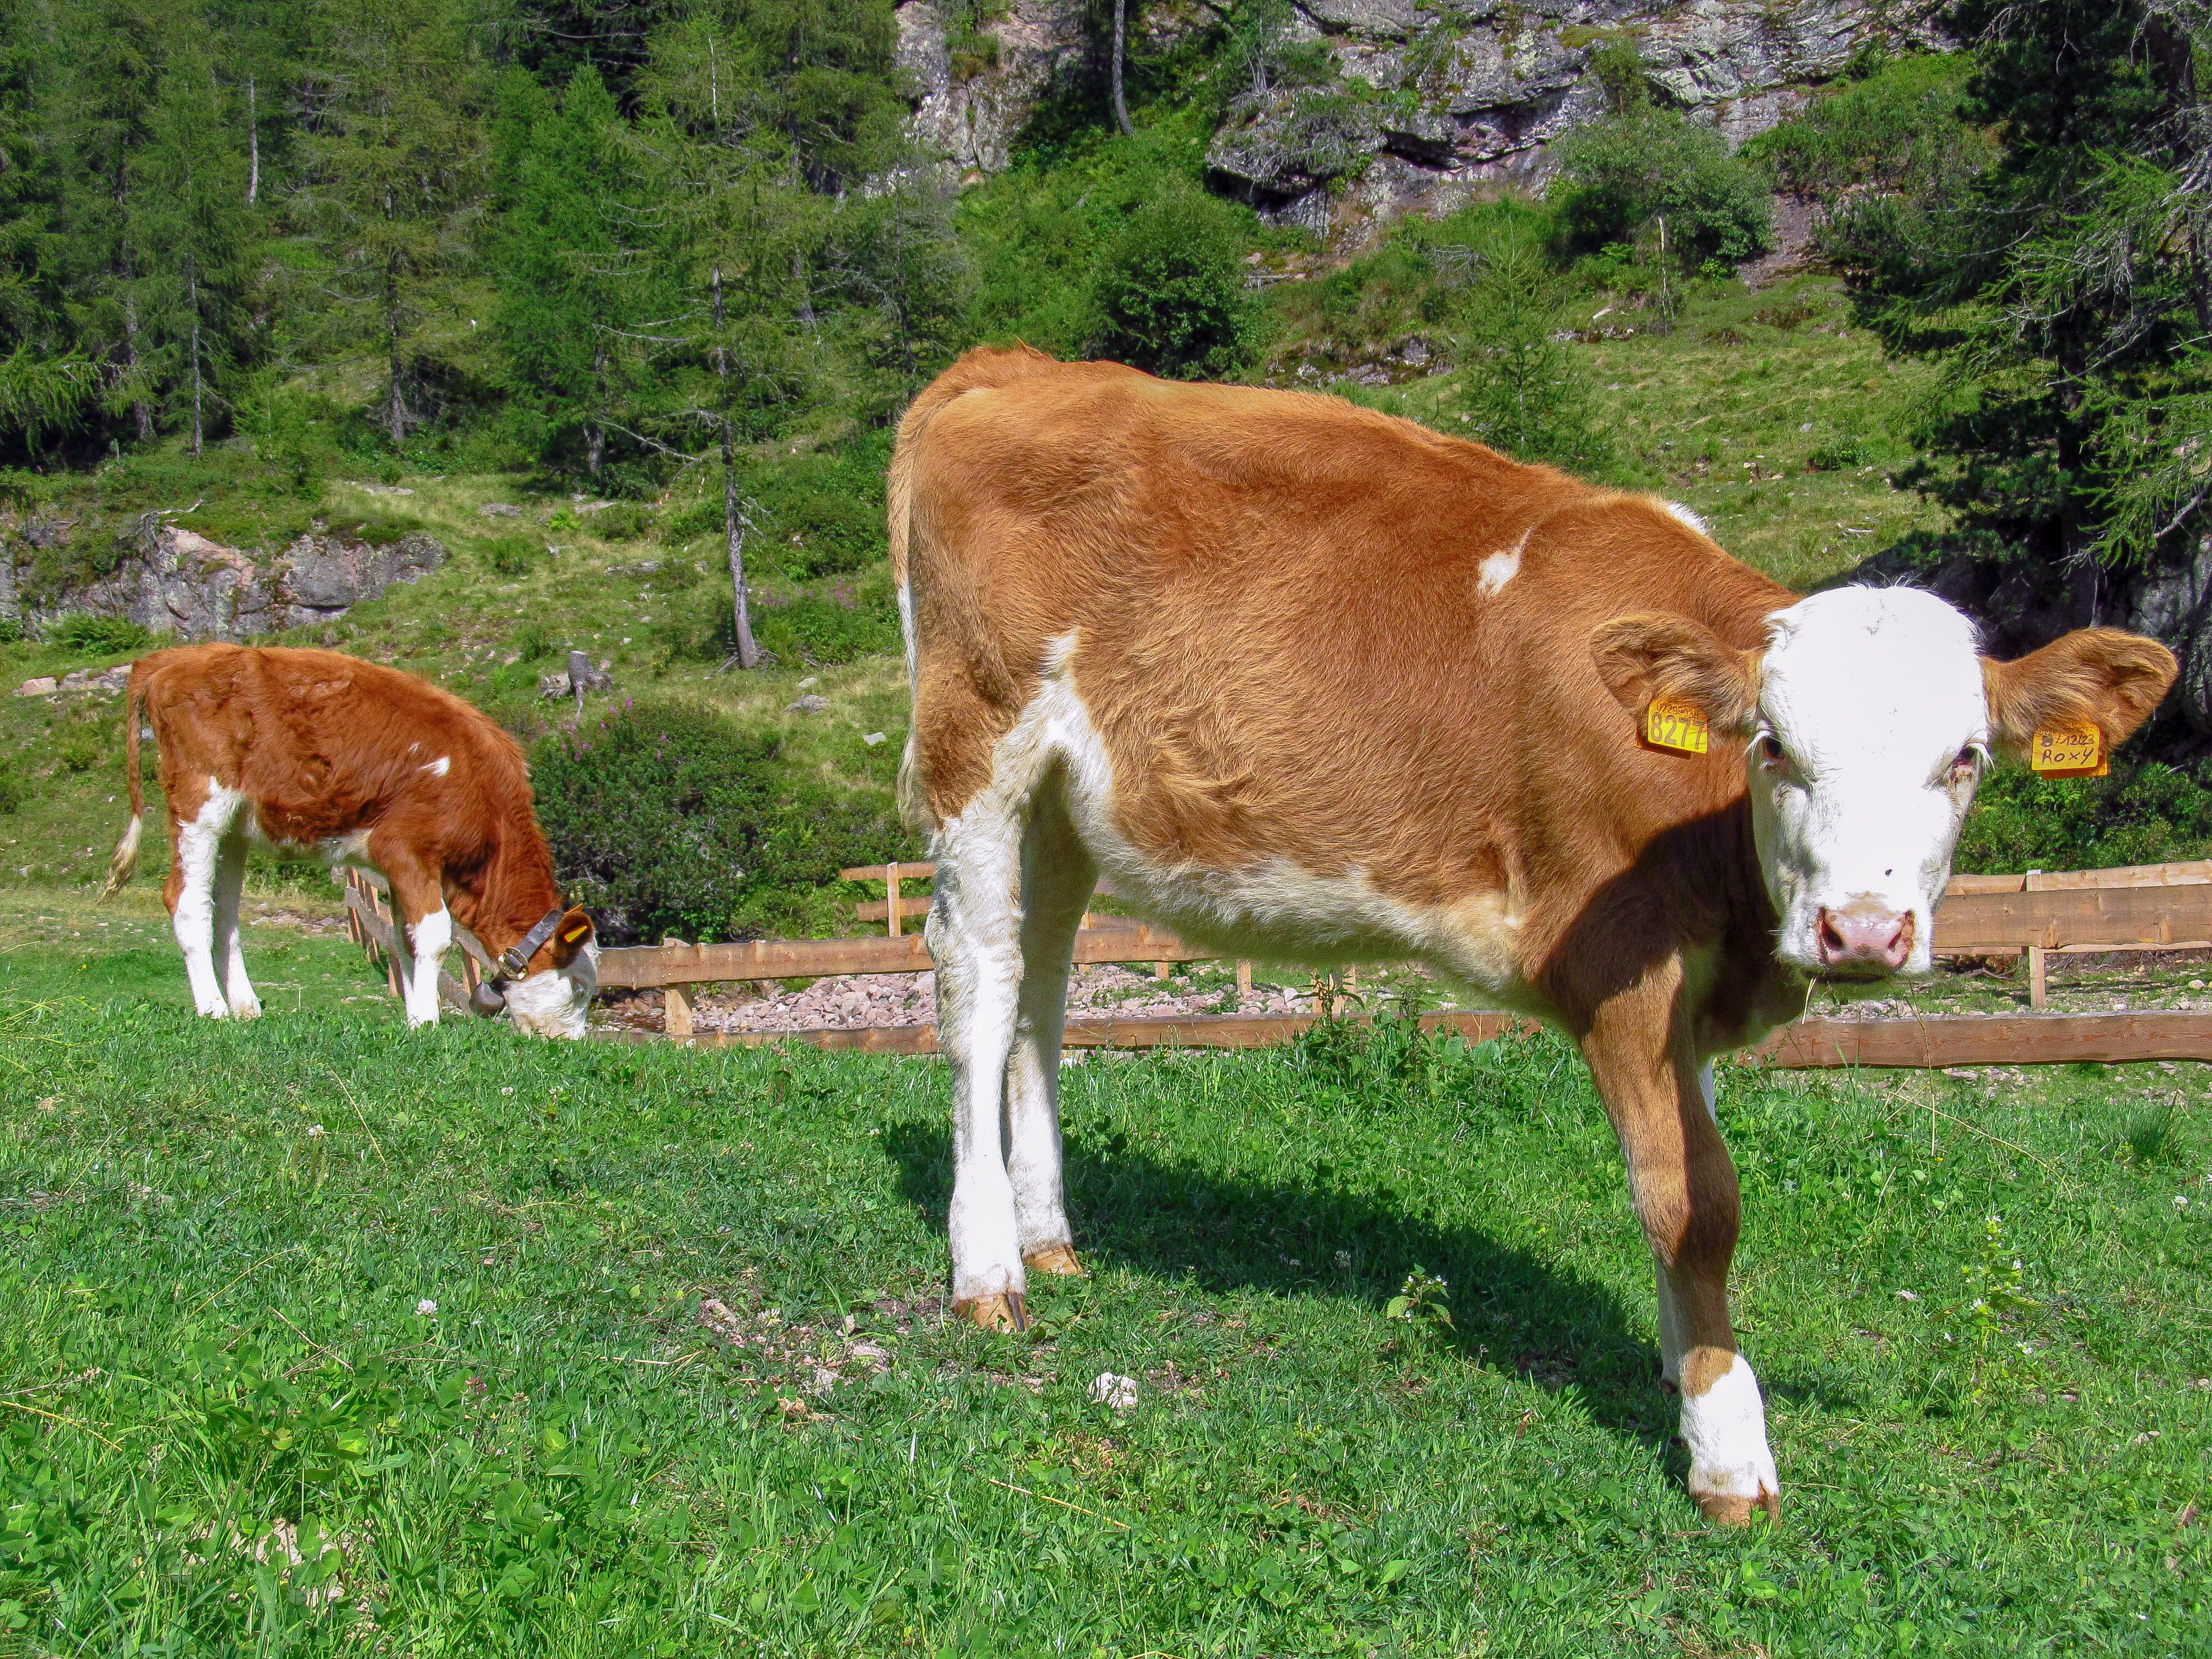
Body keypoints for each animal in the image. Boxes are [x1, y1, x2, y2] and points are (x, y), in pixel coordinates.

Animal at [101, 644, 598, 1039]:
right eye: (579, 988)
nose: (571, 1044)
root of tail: (176, 656)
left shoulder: (397, 867)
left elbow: (404, 938)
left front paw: (416, 1017)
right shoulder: (409, 852)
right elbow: (435, 936)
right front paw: (430, 1022)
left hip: (235, 828)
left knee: (223, 912)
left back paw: (245, 1007)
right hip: (199, 804)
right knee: (186, 902)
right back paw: (213, 1009)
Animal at [888, 346, 2177, 1523]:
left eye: (1965, 759)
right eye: (1772, 747)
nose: (1861, 930)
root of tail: (1019, 366)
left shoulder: (1687, 983)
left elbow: (1686, 1165)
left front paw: (1678, 1359)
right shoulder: (1617, 967)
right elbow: (1695, 1200)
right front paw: (1725, 1445)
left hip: (1067, 805)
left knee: (1041, 988)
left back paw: (1051, 1233)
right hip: (975, 748)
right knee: (979, 988)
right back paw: (988, 1266)